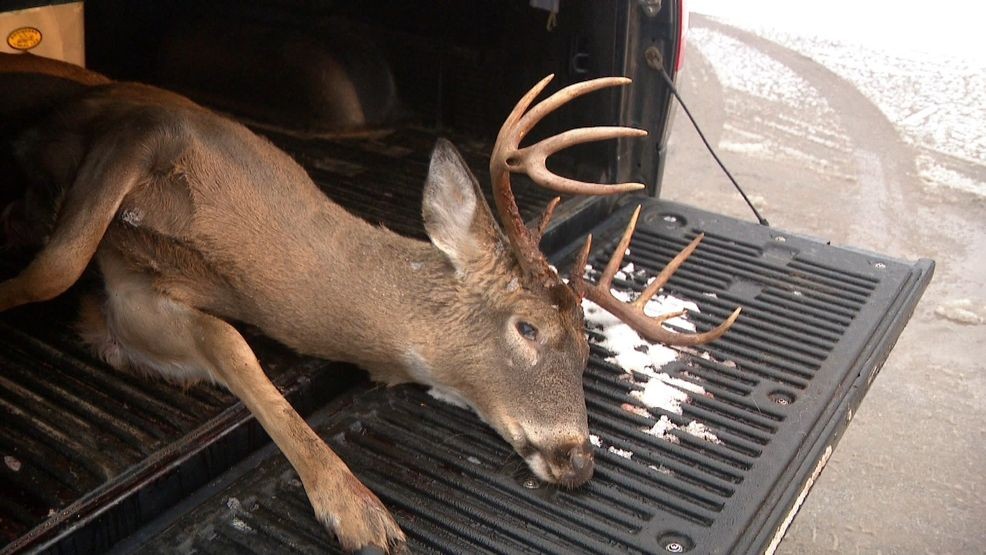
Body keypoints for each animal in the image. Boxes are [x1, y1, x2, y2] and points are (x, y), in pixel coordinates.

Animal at [0, 52, 739, 553]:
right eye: (527, 327)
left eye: (589, 352)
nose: (579, 461)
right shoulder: (137, 128)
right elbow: (58, 269)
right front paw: (358, 508)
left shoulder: (140, 294)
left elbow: (216, 338)